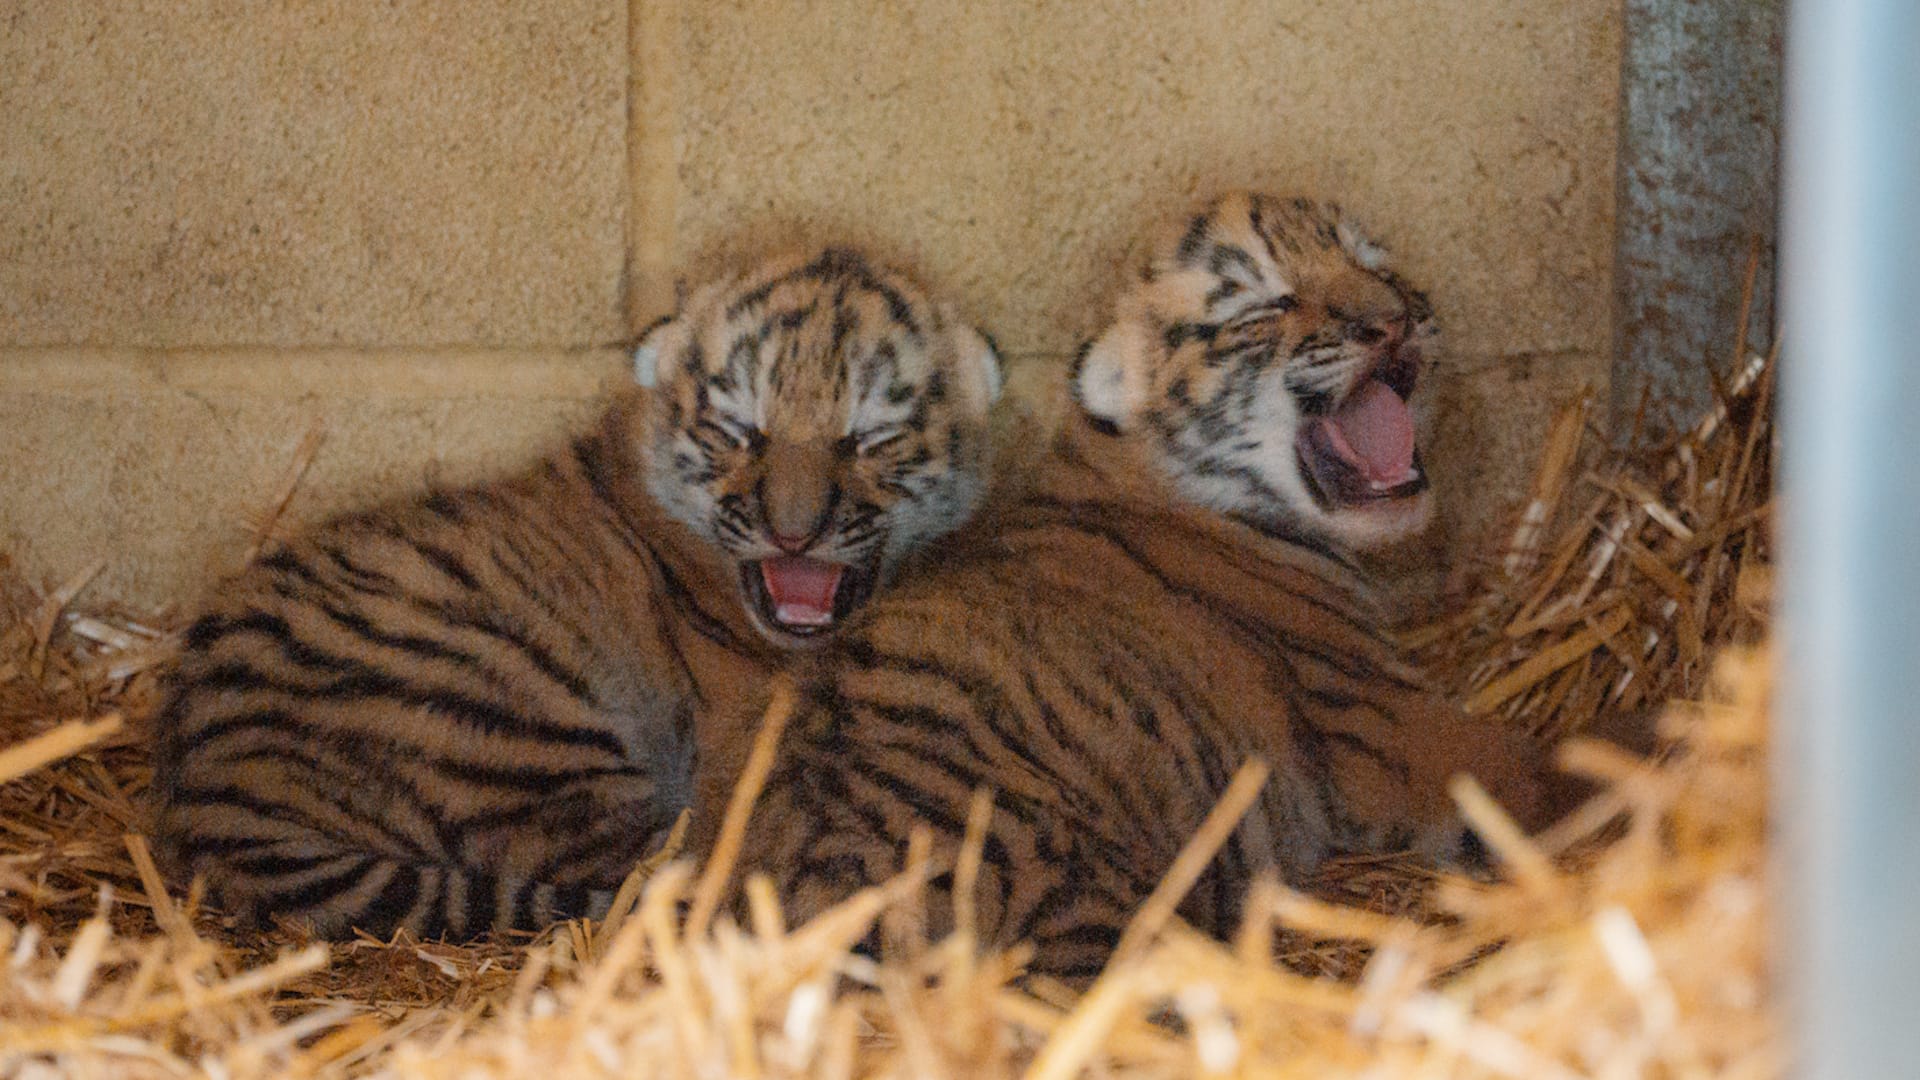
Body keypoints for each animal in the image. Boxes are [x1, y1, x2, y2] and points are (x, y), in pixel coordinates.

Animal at [149, 247, 1005, 941]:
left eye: (869, 438)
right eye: (739, 431)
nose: (792, 535)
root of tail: (206, 787)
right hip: (507, 718)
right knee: (665, 861)